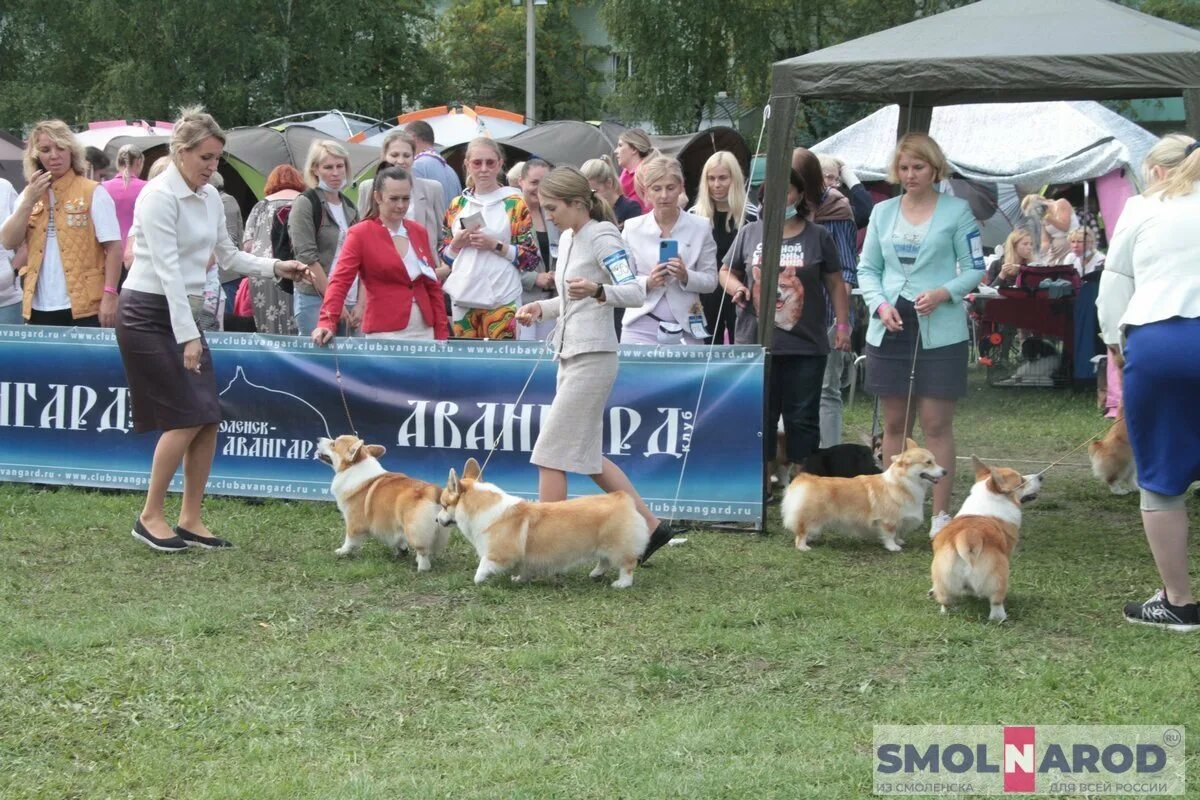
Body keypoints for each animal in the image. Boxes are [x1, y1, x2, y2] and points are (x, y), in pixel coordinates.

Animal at [314, 438, 451, 568]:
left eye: (333, 444)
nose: (318, 439)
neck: (353, 467)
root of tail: (432, 491)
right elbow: (400, 541)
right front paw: (402, 550)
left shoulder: (353, 522)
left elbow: (349, 541)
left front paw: (342, 551)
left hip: (414, 531)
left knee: (423, 552)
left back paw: (422, 568)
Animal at [439, 455, 652, 587]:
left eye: (443, 505)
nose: (436, 519)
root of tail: (622, 498)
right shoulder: (524, 560)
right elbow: (524, 569)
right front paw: (519, 579)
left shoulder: (498, 554)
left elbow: (483, 565)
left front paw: (478, 579)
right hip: (602, 545)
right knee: (604, 561)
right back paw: (596, 573)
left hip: (618, 546)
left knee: (626, 565)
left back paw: (622, 583)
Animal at [777, 438, 945, 551]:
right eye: (928, 462)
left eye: (935, 460)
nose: (945, 472)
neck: (903, 483)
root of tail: (805, 479)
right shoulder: (888, 520)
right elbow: (890, 534)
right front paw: (893, 547)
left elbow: (897, 533)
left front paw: (899, 541)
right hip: (811, 515)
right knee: (801, 532)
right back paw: (804, 547)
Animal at [926, 460, 1041, 623]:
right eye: (1021, 481)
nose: (1041, 477)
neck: (989, 496)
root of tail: (969, 535)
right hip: (998, 577)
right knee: (996, 603)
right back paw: (1000, 618)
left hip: (944, 577)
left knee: (945, 602)